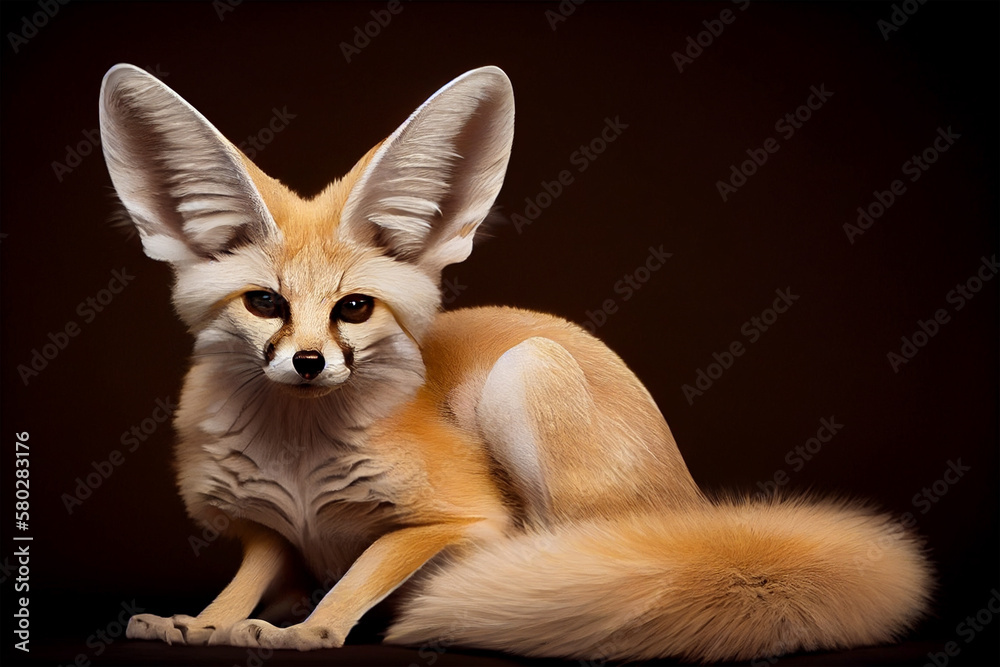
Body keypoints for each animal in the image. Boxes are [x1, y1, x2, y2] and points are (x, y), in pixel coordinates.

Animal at [99, 63, 932, 663]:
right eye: (266, 304)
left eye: (354, 308)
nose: (308, 362)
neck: (300, 461)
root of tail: (698, 515)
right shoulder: (264, 528)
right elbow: (250, 576)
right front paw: (206, 620)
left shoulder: (463, 515)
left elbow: (369, 564)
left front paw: (313, 629)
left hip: (525, 376)